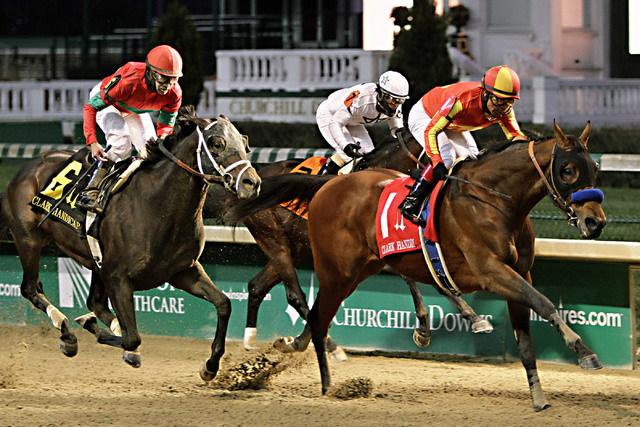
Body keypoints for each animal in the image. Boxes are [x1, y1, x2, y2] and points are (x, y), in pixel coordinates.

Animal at [0, 106, 261, 381]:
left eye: (244, 143)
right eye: (217, 143)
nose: (252, 183)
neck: (158, 206)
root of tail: (27, 168)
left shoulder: (183, 271)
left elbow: (223, 303)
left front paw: (210, 365)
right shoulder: (118, 277)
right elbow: (132, 338)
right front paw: (96, 330)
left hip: (95, 261)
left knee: (95, 302)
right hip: (28, 239)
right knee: (31, 289)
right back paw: (68, 334)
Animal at [204, 131, 492, 355]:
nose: (472, 160)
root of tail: (250, 184)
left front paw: (464, 319)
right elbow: (421, 279)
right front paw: (431, 327)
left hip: (295, 246)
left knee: (257, 285)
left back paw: (251, 339)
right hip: (273, 239)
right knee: (294, 294)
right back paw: (324, 343)